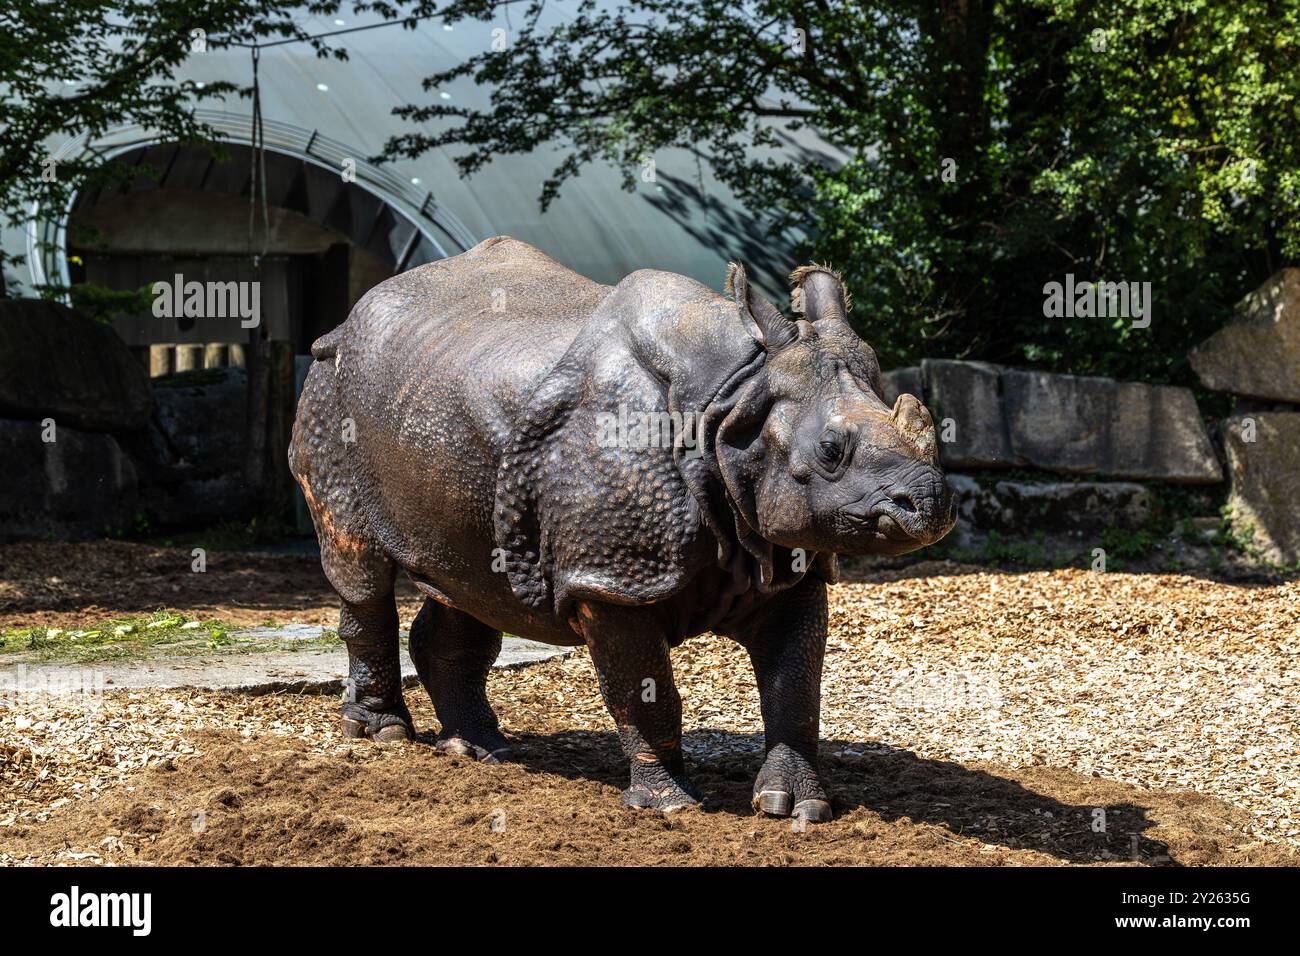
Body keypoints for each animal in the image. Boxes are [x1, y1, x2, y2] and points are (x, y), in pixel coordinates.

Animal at [289, 237, 954, 822]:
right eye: (831, 453)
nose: (930, 504)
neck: (734, 400)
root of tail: (345, 322)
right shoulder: (610, 580)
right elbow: (643, 688)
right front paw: (668, 806)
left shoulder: (787, 557)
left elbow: (795, 689)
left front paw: (797, 808)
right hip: (333, 395)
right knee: (360, 564)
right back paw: (383, 736)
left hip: (438, 406)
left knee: (470, 581)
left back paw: (483, 752)